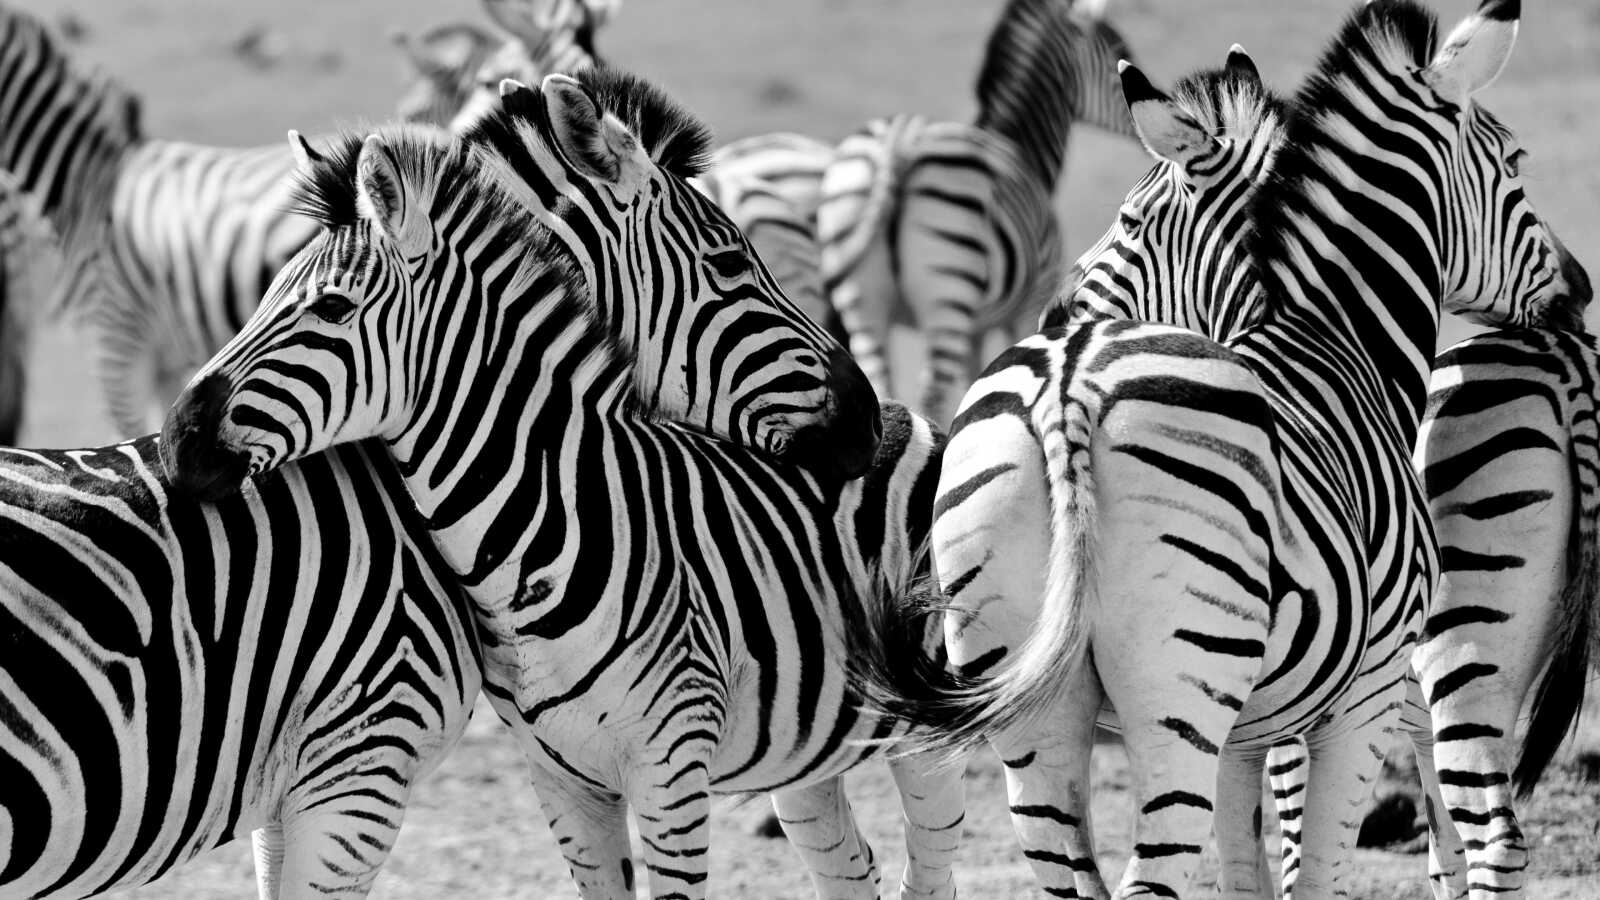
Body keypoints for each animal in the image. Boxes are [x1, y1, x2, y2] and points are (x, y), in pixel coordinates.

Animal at [813, 0, 1138, 424]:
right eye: (1119, 52)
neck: (1022, 149)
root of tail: (900, 143)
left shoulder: (978, 325)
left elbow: (981, 379)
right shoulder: (1030, 301)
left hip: (862, 296)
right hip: (947, 291)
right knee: (933, 389)